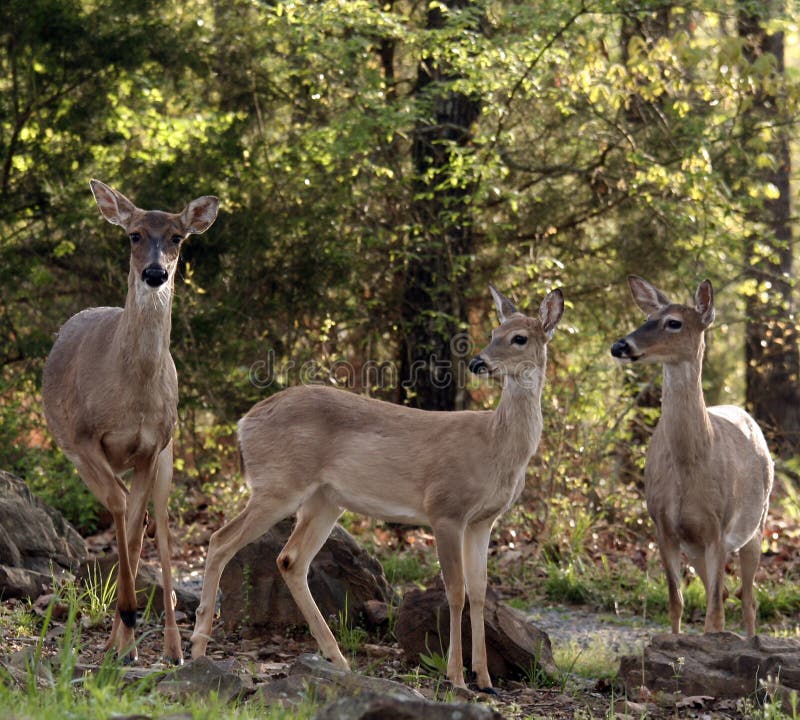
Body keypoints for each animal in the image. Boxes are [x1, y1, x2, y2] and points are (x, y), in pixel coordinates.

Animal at [42, 180, 219, 664]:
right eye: (133, 234)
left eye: (178, 237)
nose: (155, 273)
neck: (130, 394)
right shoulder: (85, 439)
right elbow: (121, 510)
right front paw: (125, 614)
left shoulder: (152, 446)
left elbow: (140, 521)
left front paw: (133, 623)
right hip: (76, 453)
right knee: (124, 507)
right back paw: (122, 641)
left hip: (169, 452)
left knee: (157, 521)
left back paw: (164, 647)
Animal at [190, 284, 564, 691]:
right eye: (494, 333)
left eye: (518, 337)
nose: (479, 363)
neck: (495, 445)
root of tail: (243, 423)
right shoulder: (445, 508)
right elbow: (455, 591)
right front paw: (456, 678)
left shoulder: (483, 520)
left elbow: (480, 591)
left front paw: (483, 678)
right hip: (278, 485)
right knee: (220, 540)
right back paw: (195, 649)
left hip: (324, 499)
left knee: (289, 559)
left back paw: (336, 658)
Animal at [611, 275, 773, 637]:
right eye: (647, 317)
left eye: (674, 322)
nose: (620, 346)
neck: (690, 465)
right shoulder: (663, 526)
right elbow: (677, 602)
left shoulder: (718, 528)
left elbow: (715, 615)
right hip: (698, 549)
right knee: (726, 593)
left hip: (755, 526)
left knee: (748, 601)